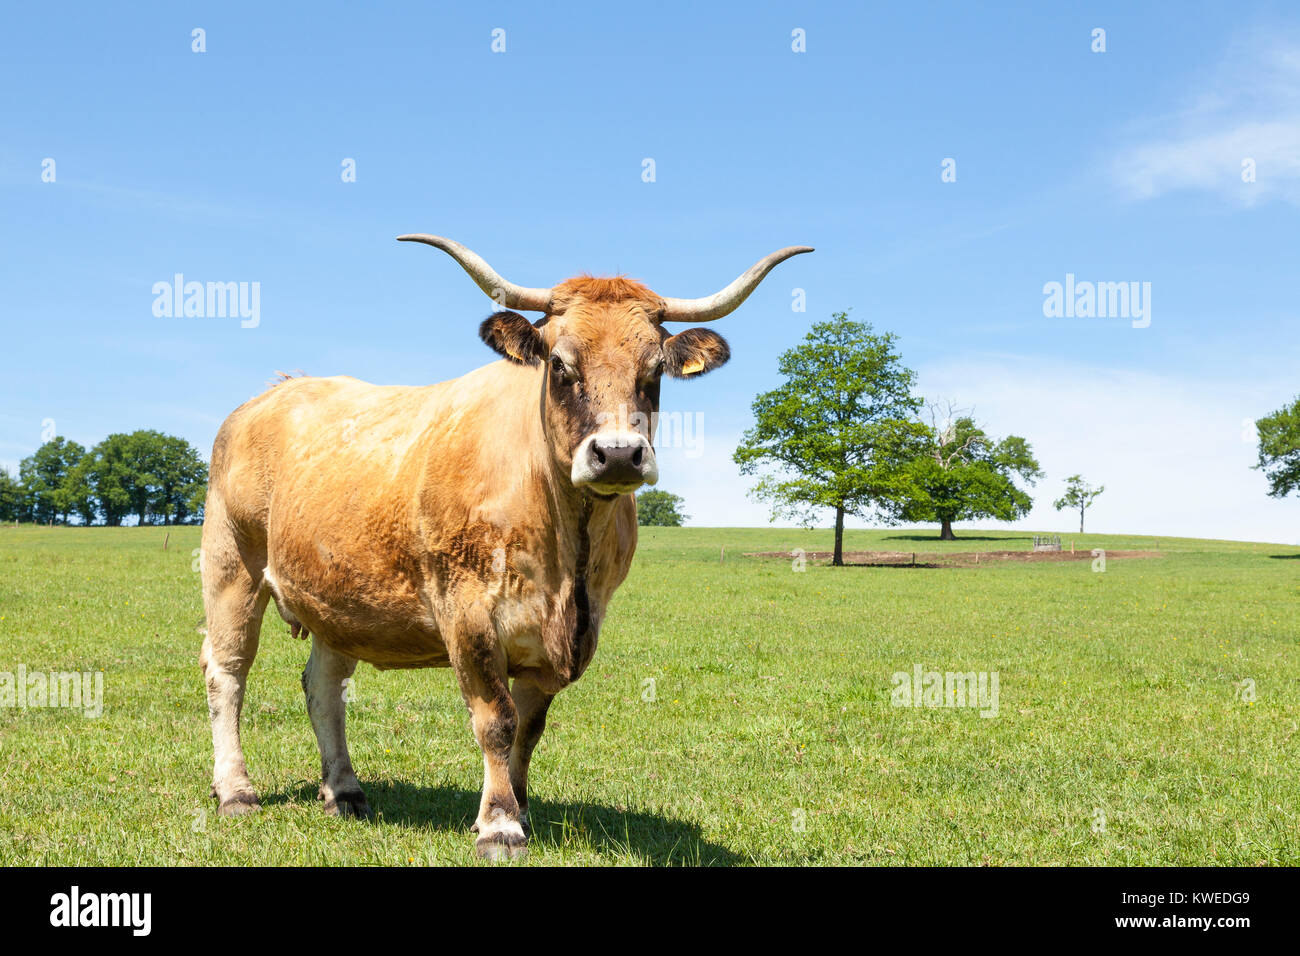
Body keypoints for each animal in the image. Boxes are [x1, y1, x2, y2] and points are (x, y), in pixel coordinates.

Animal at [198, 235, 811, 858]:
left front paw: (520, 806)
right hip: (231, 566)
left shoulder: (573, 632)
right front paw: (498, 823)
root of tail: (276, 390)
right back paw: (236, 792)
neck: (566, 555)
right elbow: (496, 720)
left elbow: (530, 727)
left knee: (324, 686)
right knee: (226, 673)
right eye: (560, 365)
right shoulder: (468, 616)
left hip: (339, 600)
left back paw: (344, 792)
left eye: (655, 368)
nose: (617, 454)